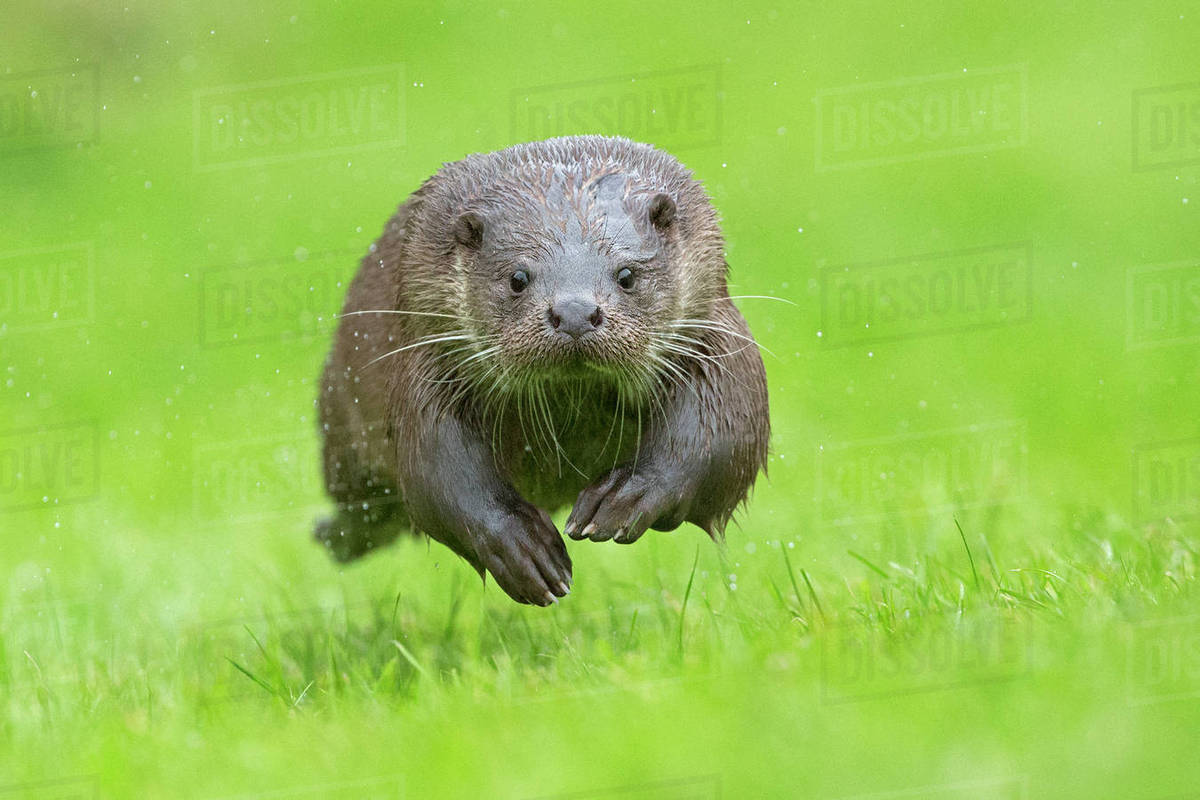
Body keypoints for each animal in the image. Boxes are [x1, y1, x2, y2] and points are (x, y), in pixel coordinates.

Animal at [315, 135, 768, 606]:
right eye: (518, 277)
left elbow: (721, 435)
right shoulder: (431, 357)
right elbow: (438, 466)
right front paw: (523, 548)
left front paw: (624, 495)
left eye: (626, 274)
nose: (575, 312)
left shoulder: (713, 337)